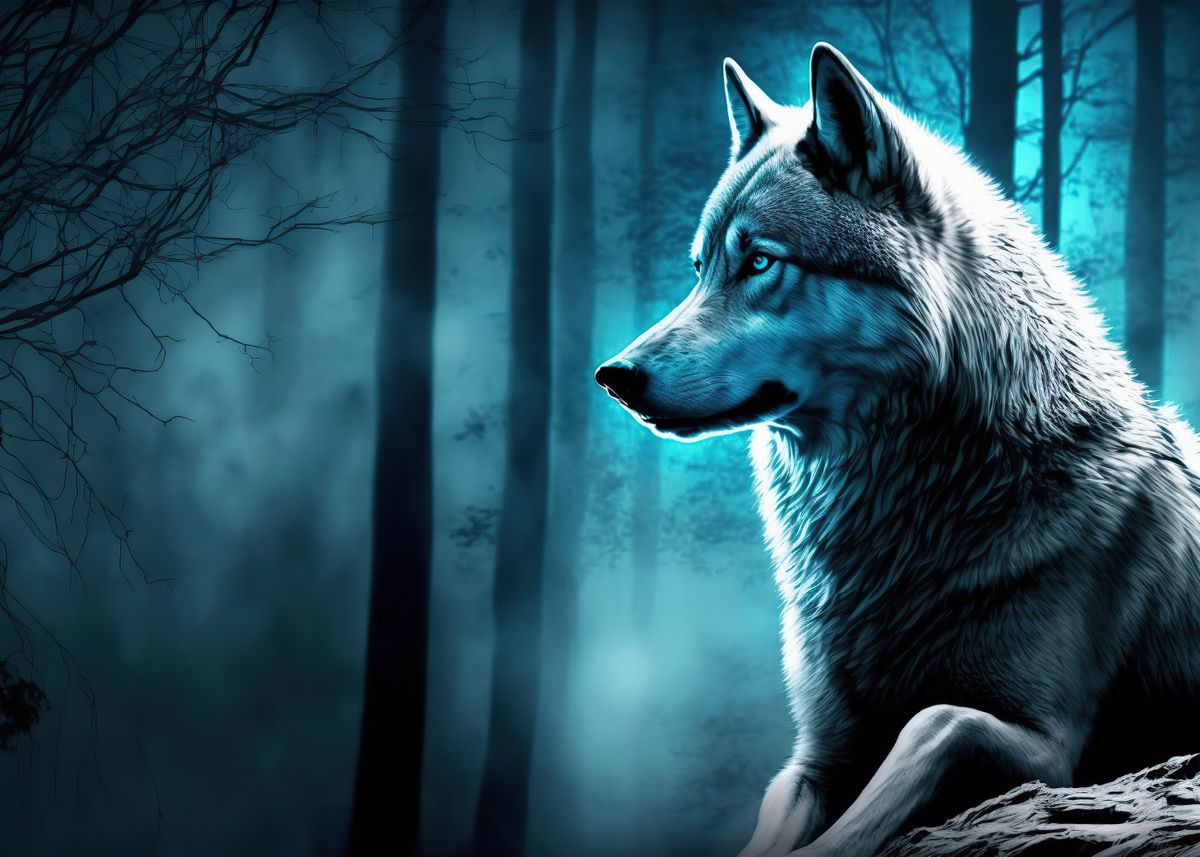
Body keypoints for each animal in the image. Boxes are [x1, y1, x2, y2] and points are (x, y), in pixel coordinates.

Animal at [595, 43, 1200, 856]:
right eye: (700, 268)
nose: (614, 376)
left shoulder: (1054, 747)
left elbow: (931, 723)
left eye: (760, 262)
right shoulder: (817, 757)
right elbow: (776, 807)